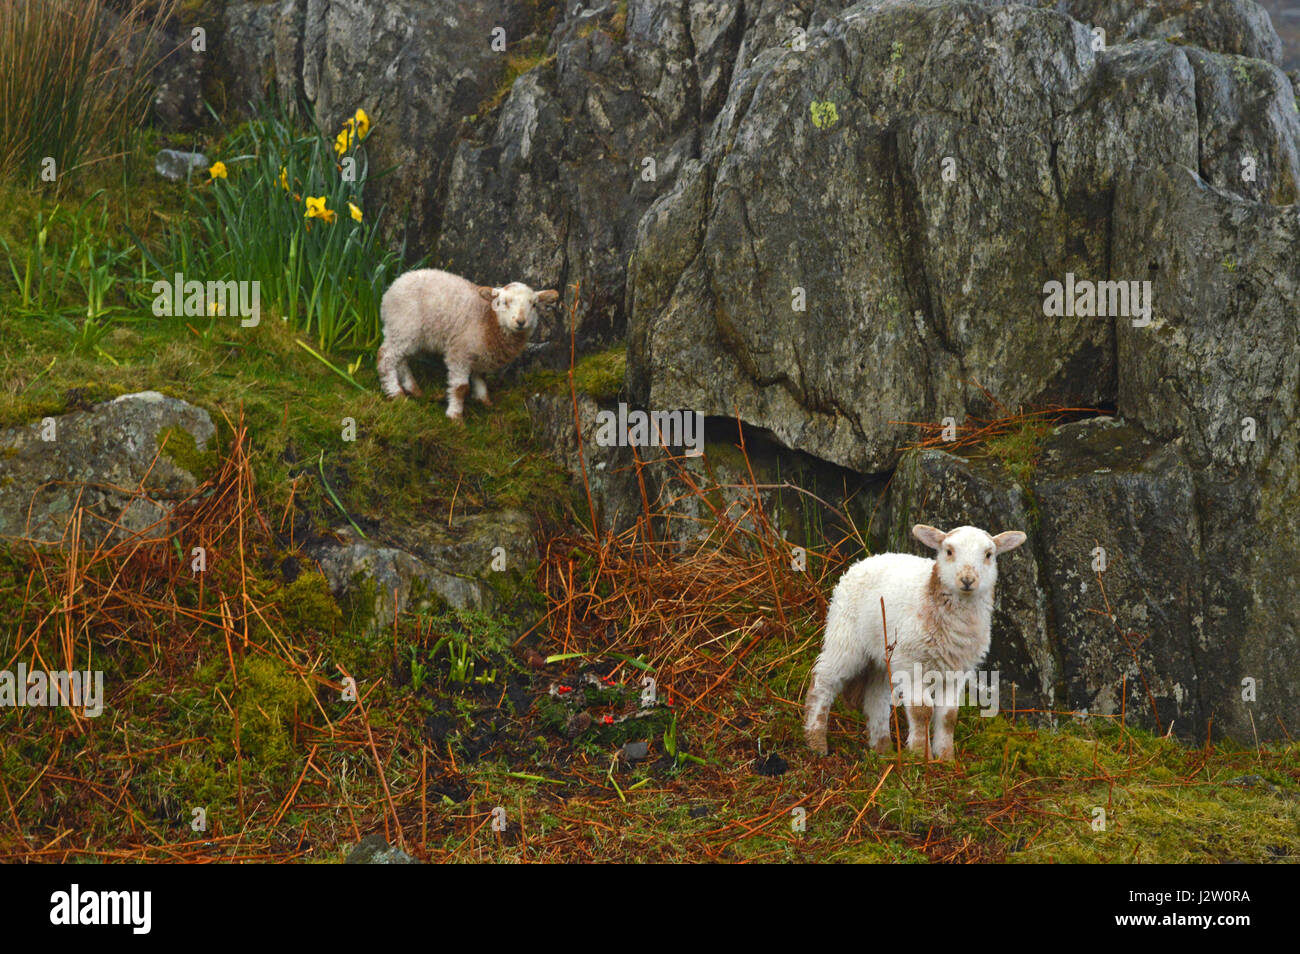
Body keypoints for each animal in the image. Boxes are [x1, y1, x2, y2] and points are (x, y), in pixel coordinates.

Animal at [376, 268, 560, 420]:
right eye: (504, 302)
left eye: (534, 305)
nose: (521, 322)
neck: (489, 320)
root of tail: (392, 287)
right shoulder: (460, 351)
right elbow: (461, 388)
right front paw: (455, 416)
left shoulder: (481, 353)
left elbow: (480, 378)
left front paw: (484, 401)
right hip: (403, 326)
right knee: (386, 357)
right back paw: (395, 393)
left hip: (408, 333)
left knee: (401, 359)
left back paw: (413, 388)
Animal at [803, 524, 1026, 760]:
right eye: (949, 551)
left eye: (988, 554)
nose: (967, 580)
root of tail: (865, 561)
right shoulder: (913, 664)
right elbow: (922, 711)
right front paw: (921, 756)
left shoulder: (957, 670)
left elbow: (949, 716)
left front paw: (946, 758)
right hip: (846, 635)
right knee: (824, 680)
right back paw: (816, 740)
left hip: (885, 655)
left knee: (876, 697)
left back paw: (883, 749)